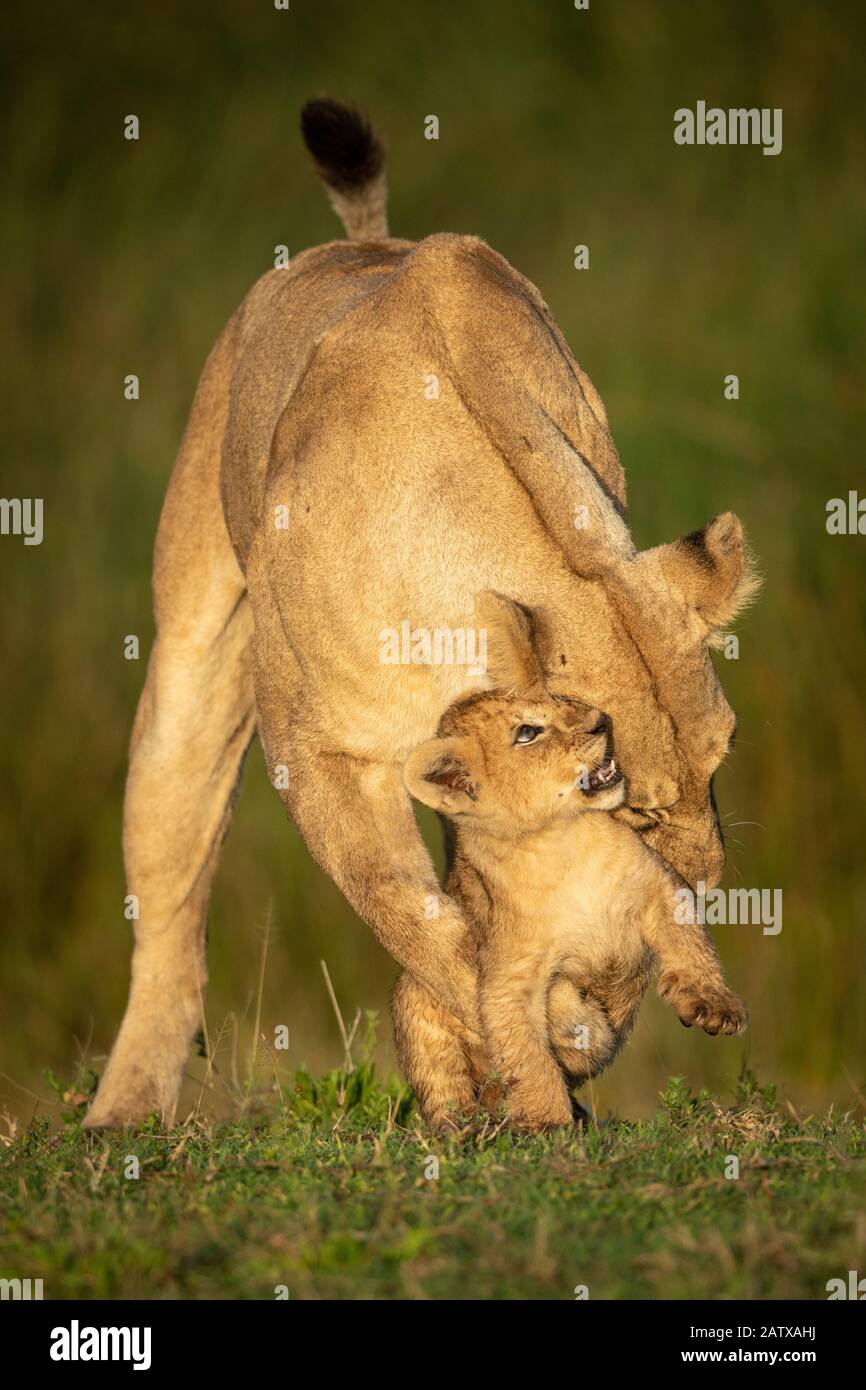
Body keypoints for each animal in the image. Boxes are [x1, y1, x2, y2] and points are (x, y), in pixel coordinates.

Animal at [393, 592, 748, 1133]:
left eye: (561, 699)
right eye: (527, 733)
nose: (600, 721)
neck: (561, 841)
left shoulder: (657, 887)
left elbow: (691, 944)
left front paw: (712, 1004)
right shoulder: (507, 978)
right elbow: (527, 1050)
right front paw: (546, 1120)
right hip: (416, 1006)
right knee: (443, 1088)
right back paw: (468, 1126)